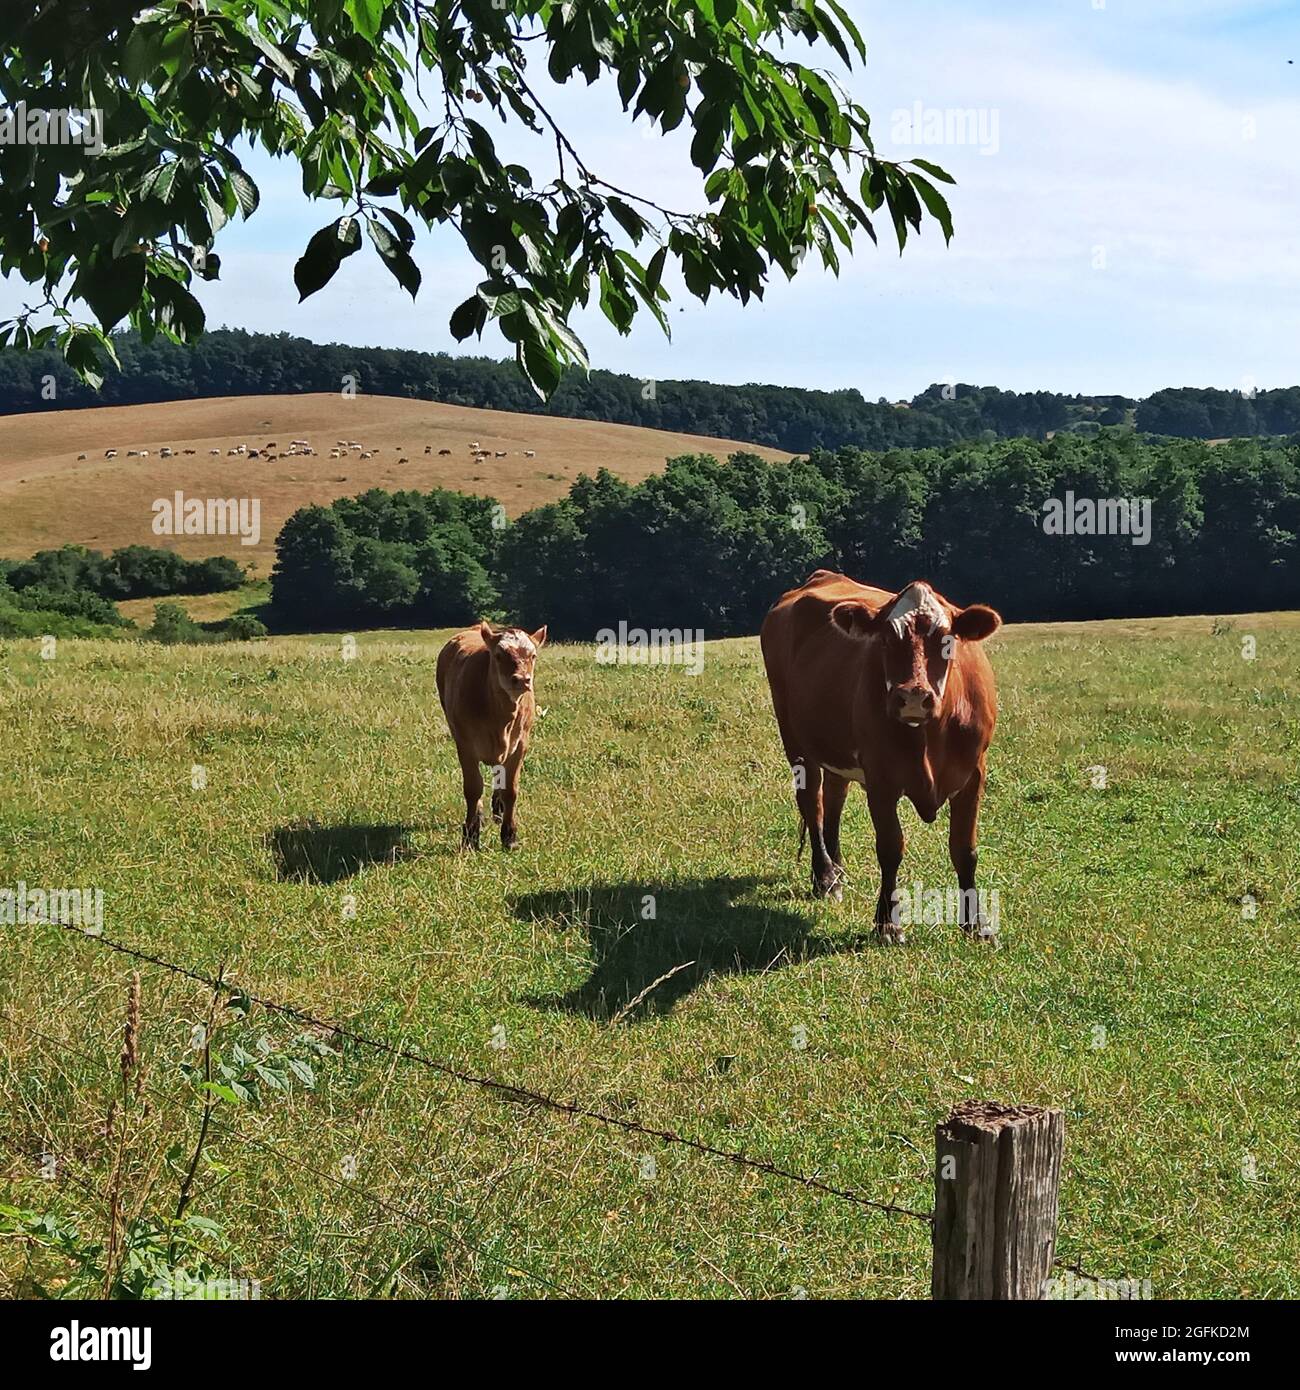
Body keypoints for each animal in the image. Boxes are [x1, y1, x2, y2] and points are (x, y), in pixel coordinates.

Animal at [436, 621, 547, 851]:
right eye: (498, 655)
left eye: (533, 655)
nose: (522, 680)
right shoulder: (465, 745)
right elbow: (473, 788)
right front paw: (470, 835)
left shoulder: (520, 745)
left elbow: (511, 789)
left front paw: (510, 836)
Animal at [760, 571, 1001, 942]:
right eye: (886, 638)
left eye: (946, 638)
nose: (913, 695)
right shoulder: (881, 779)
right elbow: (890, 848)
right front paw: (887, 923)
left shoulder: (974, 773)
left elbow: (965, 849)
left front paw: (974, 923)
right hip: (795, 739)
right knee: (812, 804)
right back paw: (825, 877)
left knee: (834, 798)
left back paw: (838, 869)